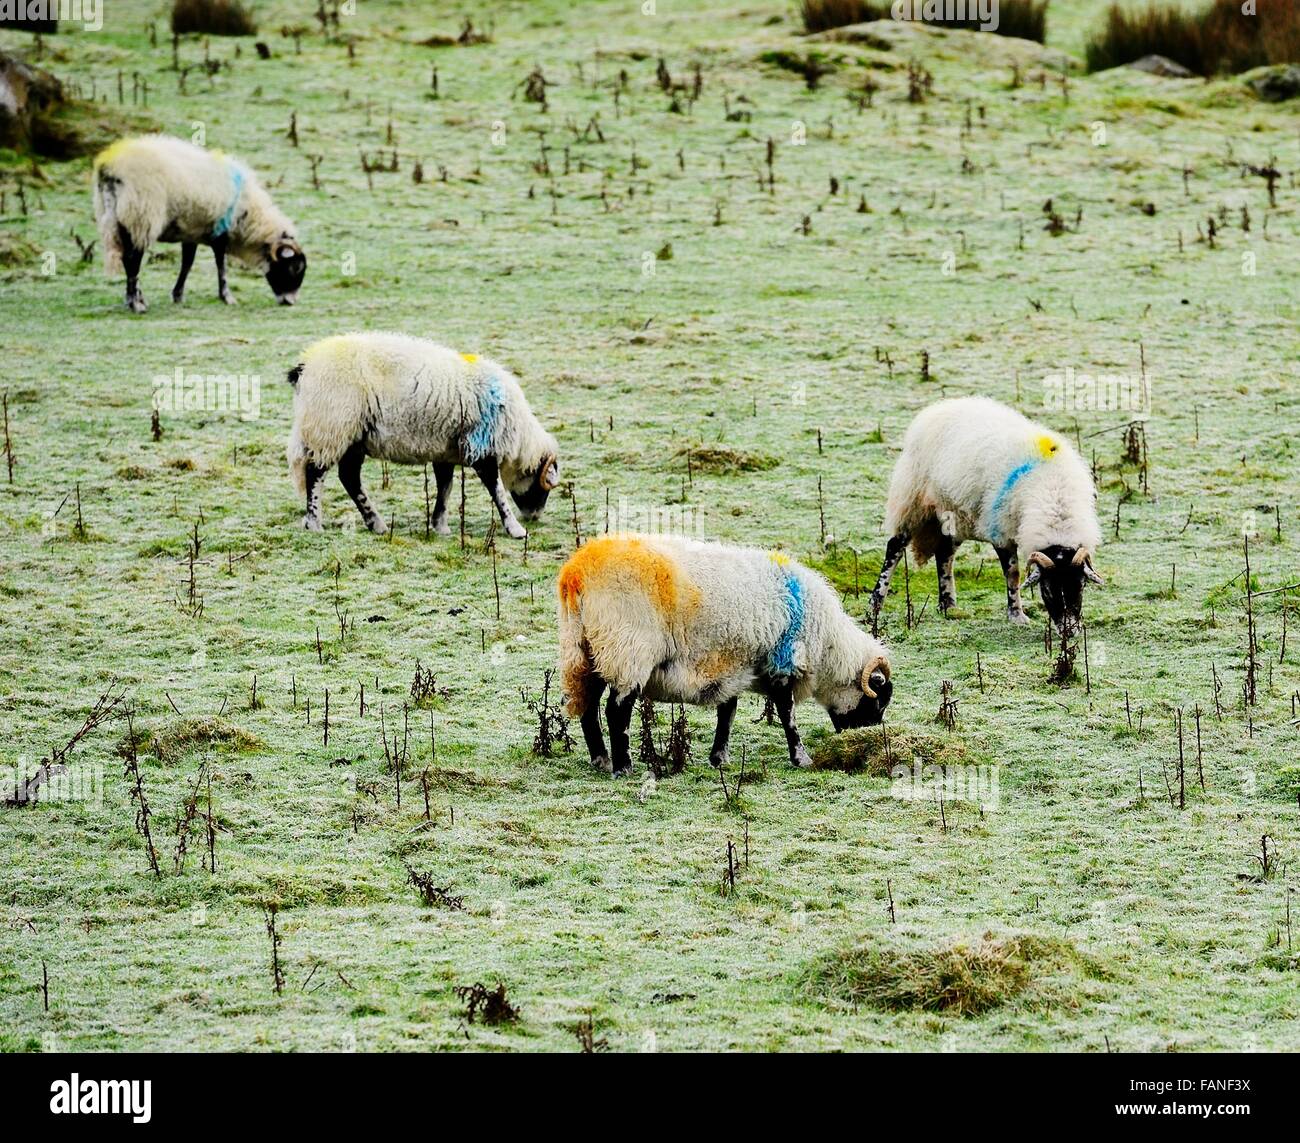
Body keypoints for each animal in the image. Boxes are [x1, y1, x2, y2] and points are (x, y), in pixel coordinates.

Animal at [93, 134, 306, 313]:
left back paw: (136, 299)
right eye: (295, 267)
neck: (249, 217)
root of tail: (110, 167)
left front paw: (178, 295)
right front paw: (227, 297)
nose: (290, 302)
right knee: (132, 260)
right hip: (140, 217)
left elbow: (187, 263)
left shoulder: (191, 232)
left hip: (117, 218)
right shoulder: (220, 232)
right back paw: (136, 304)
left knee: (128, 260)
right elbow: (221, 265)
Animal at [286, 332, 561, 540]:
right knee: (315, 473)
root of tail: (304, 365)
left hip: (352, 437)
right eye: (542, 486)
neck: (517, 434)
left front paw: (440, 525)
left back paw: (376, 523)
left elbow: (445, 487)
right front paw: (516, 529)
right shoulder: (482, 448)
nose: (534, 516)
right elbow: (497, 491)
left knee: (350, 478)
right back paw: (314, 522)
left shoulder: (446, 450)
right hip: (330, 428)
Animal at [557, 534, 893, 776]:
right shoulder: (782, 661)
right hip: (626, 650)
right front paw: (801, 758)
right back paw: (623, 767)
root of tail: (576, 574)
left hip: (586, 650)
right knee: (617, 711)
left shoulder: (733, 664)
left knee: (588, 707)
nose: (867, 743)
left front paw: (720, 757)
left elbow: (727, 712)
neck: (827, 646)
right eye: (877, 703)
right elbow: (787, 715)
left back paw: (601, 760)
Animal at [870, 396, 1104, 629]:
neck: (1054, 497)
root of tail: (941, 406)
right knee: (895, 548)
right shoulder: (1001, 530)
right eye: (1046, 589)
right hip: (912, 502)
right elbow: (1013, 574)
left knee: (944, 554)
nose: (1069, 631)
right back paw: (875, 603)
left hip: (955, 515)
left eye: (1080, 585)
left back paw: (949, 606)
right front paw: (1017, 615)